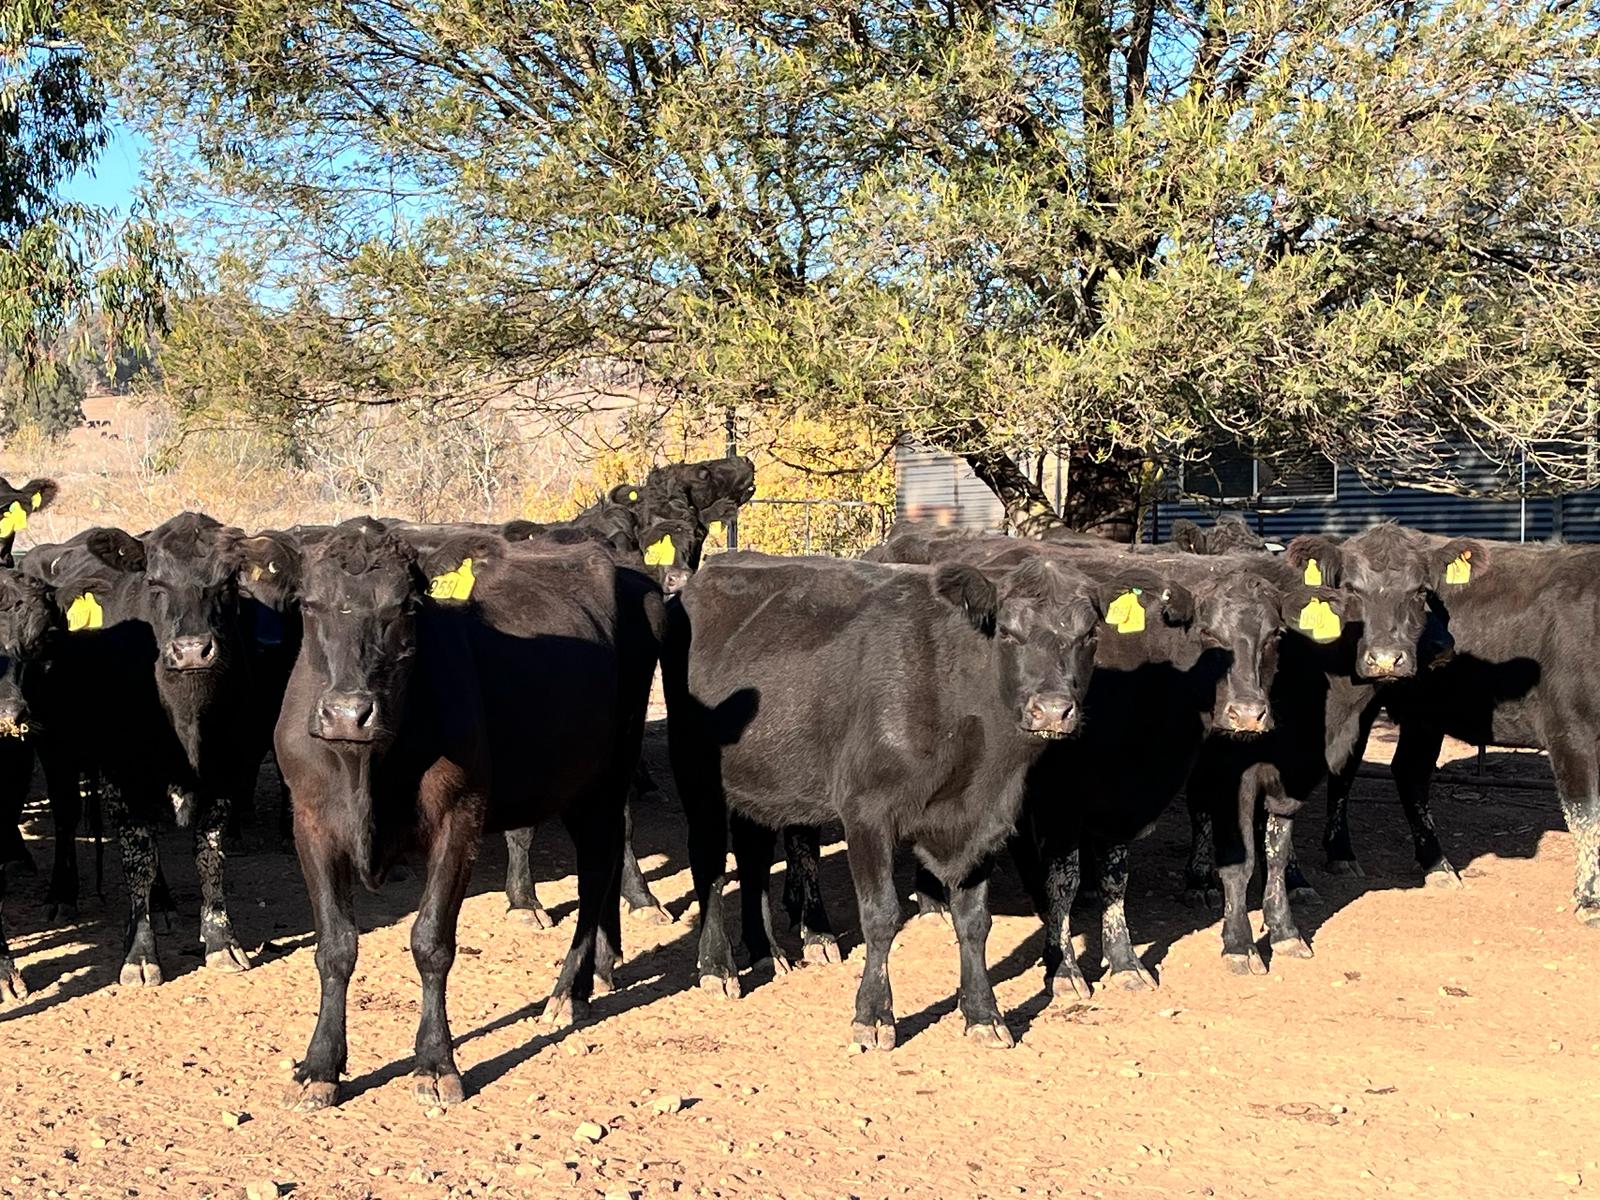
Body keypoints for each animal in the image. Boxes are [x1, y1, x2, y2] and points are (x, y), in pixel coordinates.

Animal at [260, 525, 646, 1110]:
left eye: (408, 606)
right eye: (309, 603)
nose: (348, 713)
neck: (366, 767)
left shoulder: (459, 817)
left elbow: (431, 942)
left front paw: (436, 1062)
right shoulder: (311, 823)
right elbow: (335, 945)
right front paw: (320, 1067)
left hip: (611, 770)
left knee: (599, 866)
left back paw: (567, 992)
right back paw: (599, 971)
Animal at [664, 551, 1130, 1049]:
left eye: (1090, 635)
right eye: (1007, 631)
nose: (1053, 710)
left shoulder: (983, 821)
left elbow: (975, 921)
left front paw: (983, 1014)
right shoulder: (867, 812)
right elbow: (881, 915)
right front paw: (873, 1016)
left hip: (759, 781)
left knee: (752, 859)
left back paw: (766, 951)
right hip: (697, 776)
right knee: (709, 862)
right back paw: (717, 966)